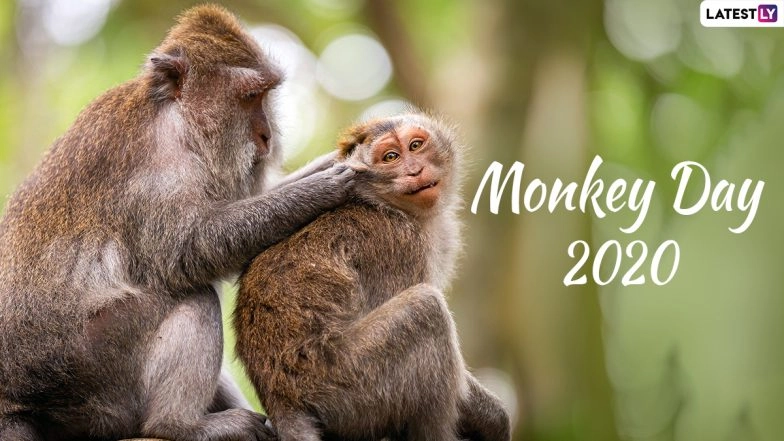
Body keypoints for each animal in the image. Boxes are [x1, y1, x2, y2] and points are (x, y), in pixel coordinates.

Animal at [0, 5, 359, 441]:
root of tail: (15, 399)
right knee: (195, 297)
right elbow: (190, 249)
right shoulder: (160, 167)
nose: (266, 136)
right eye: (250, 96)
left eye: (265, 95)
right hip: (92, 374)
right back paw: (179, 426)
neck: (177, 115)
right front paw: (321, 189)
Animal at [235, 112, 512, 441]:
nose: (415, 170)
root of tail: (281, 400)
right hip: (347, 385)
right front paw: (493, 417)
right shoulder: (400, 246)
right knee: (426, 309)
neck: (386, 205)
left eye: (415, 146)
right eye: (390, 157)